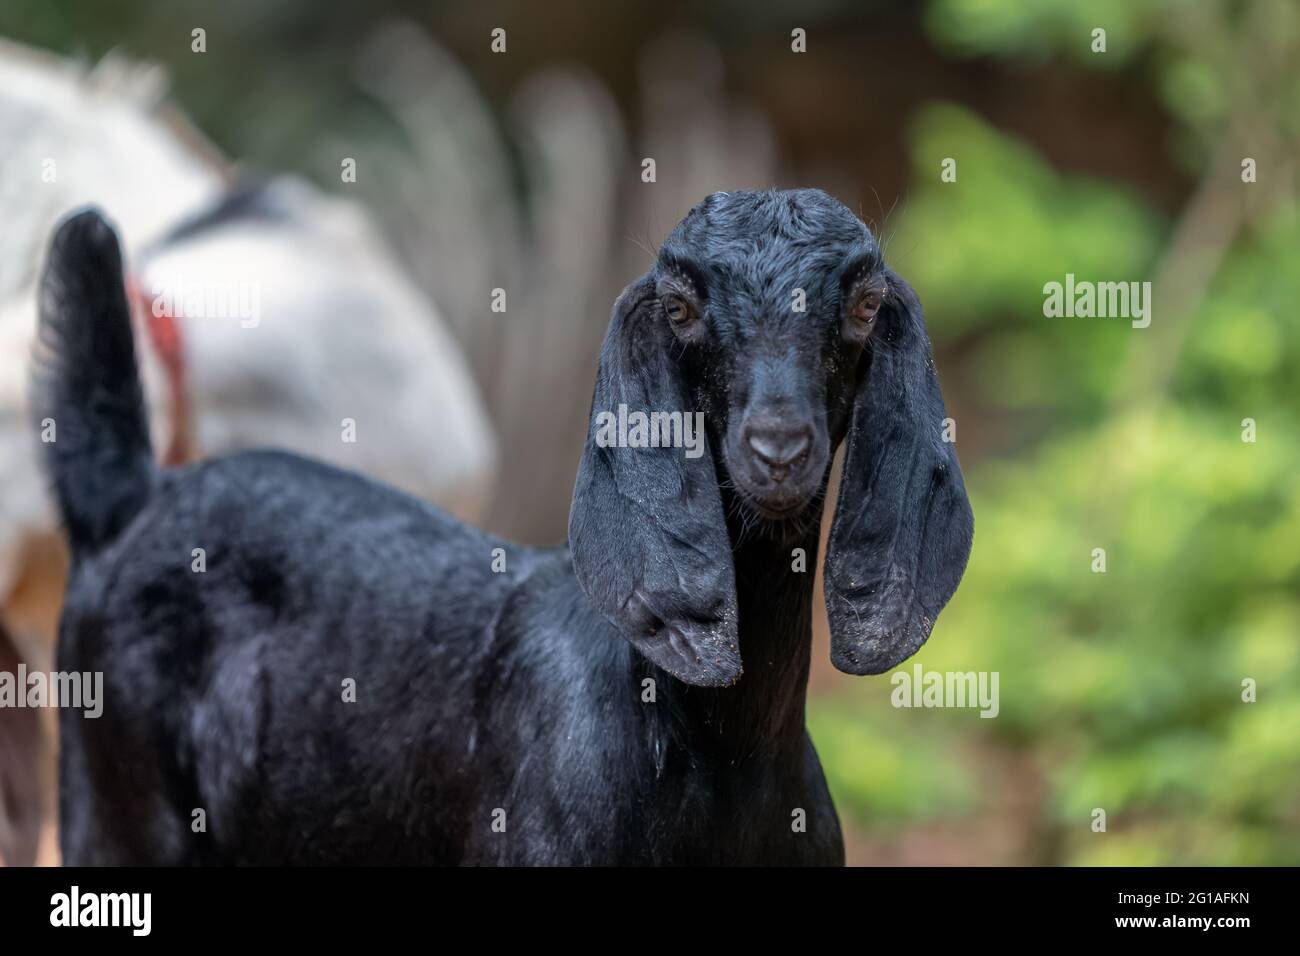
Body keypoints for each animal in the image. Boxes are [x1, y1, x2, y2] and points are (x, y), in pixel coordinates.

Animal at [36, 189, 973, 865]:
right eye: (679, 308)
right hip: (115, 808)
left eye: (865, 305)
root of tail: (129, 496)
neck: (724, 757)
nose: (778, 448)